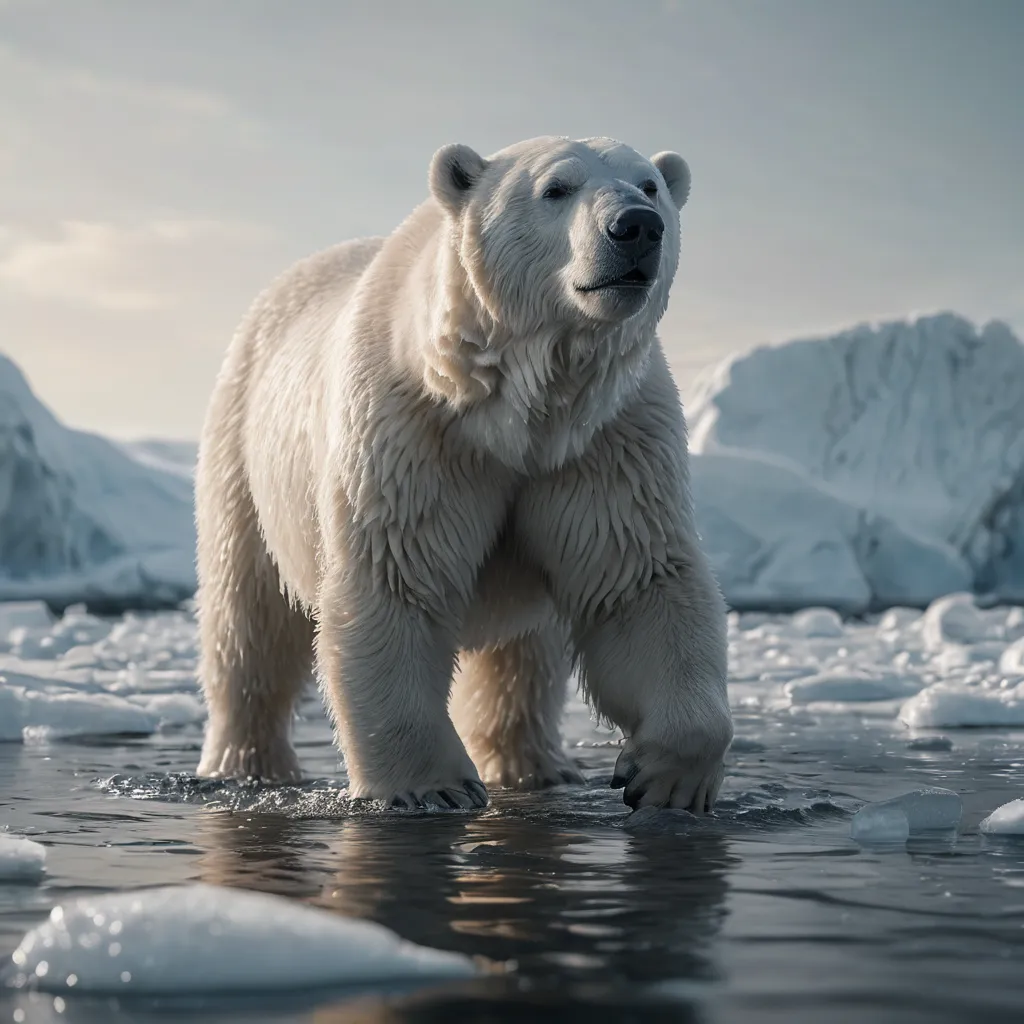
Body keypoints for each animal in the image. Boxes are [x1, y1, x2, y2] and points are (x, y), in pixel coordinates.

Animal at [194, 135, 732, 813]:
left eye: (650, 186)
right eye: (556, 188)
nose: (636, 227)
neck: (517, 411)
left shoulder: (606, 439)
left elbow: (639, 579)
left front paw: (664, 776)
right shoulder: (411, 431)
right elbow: (396, 580)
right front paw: (432, 788)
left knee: (524, 656)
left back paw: (537, 765)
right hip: (241, 443)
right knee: (248, 618)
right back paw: (248, 766)